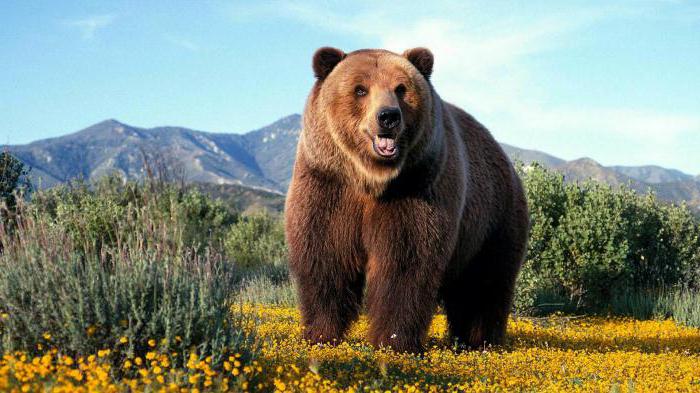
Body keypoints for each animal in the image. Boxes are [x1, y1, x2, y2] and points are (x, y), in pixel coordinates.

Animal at [288, 46, 528, 352]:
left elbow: (405, 264)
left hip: (493, 220)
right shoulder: (328, 185)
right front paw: (320, 334)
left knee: (484, 283)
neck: (370, 179)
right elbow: (326, 256)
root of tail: (504, 157)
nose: (388, 116)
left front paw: (393, 341)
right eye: (360, 89)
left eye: (401, 89)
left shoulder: (416, 188)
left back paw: (480, 340)